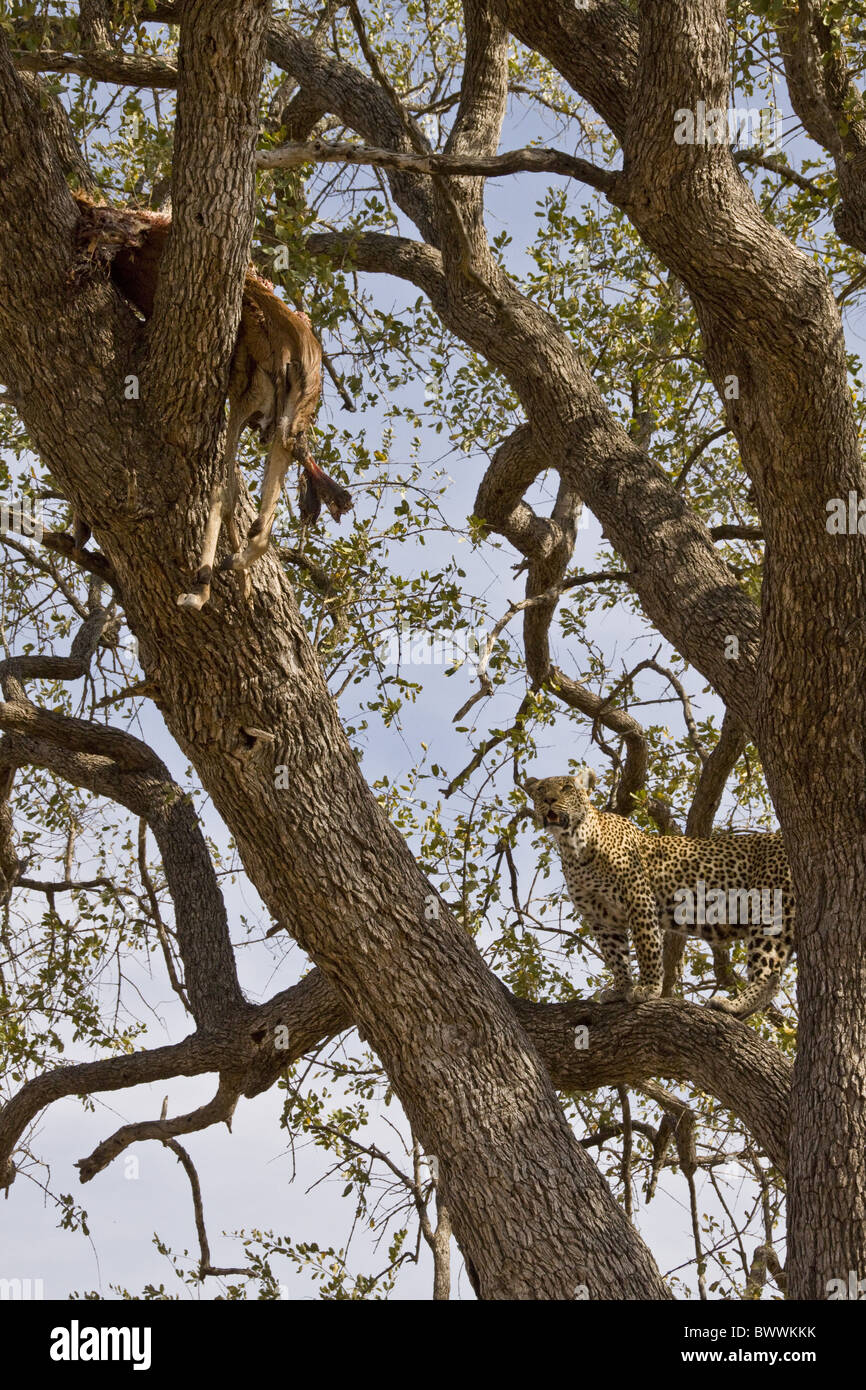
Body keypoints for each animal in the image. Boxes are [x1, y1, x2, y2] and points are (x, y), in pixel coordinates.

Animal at [525, 769, 794, 1017]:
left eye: (567, 788)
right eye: (541, 790)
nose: (549, 799)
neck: (573, 846)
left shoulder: (637, 897)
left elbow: (646, 946)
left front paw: (648, 988)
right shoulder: (600, 916)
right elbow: (616, 956)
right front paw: (620, 989)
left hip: (771, 908)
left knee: (769, 974)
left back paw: (732, 1004)